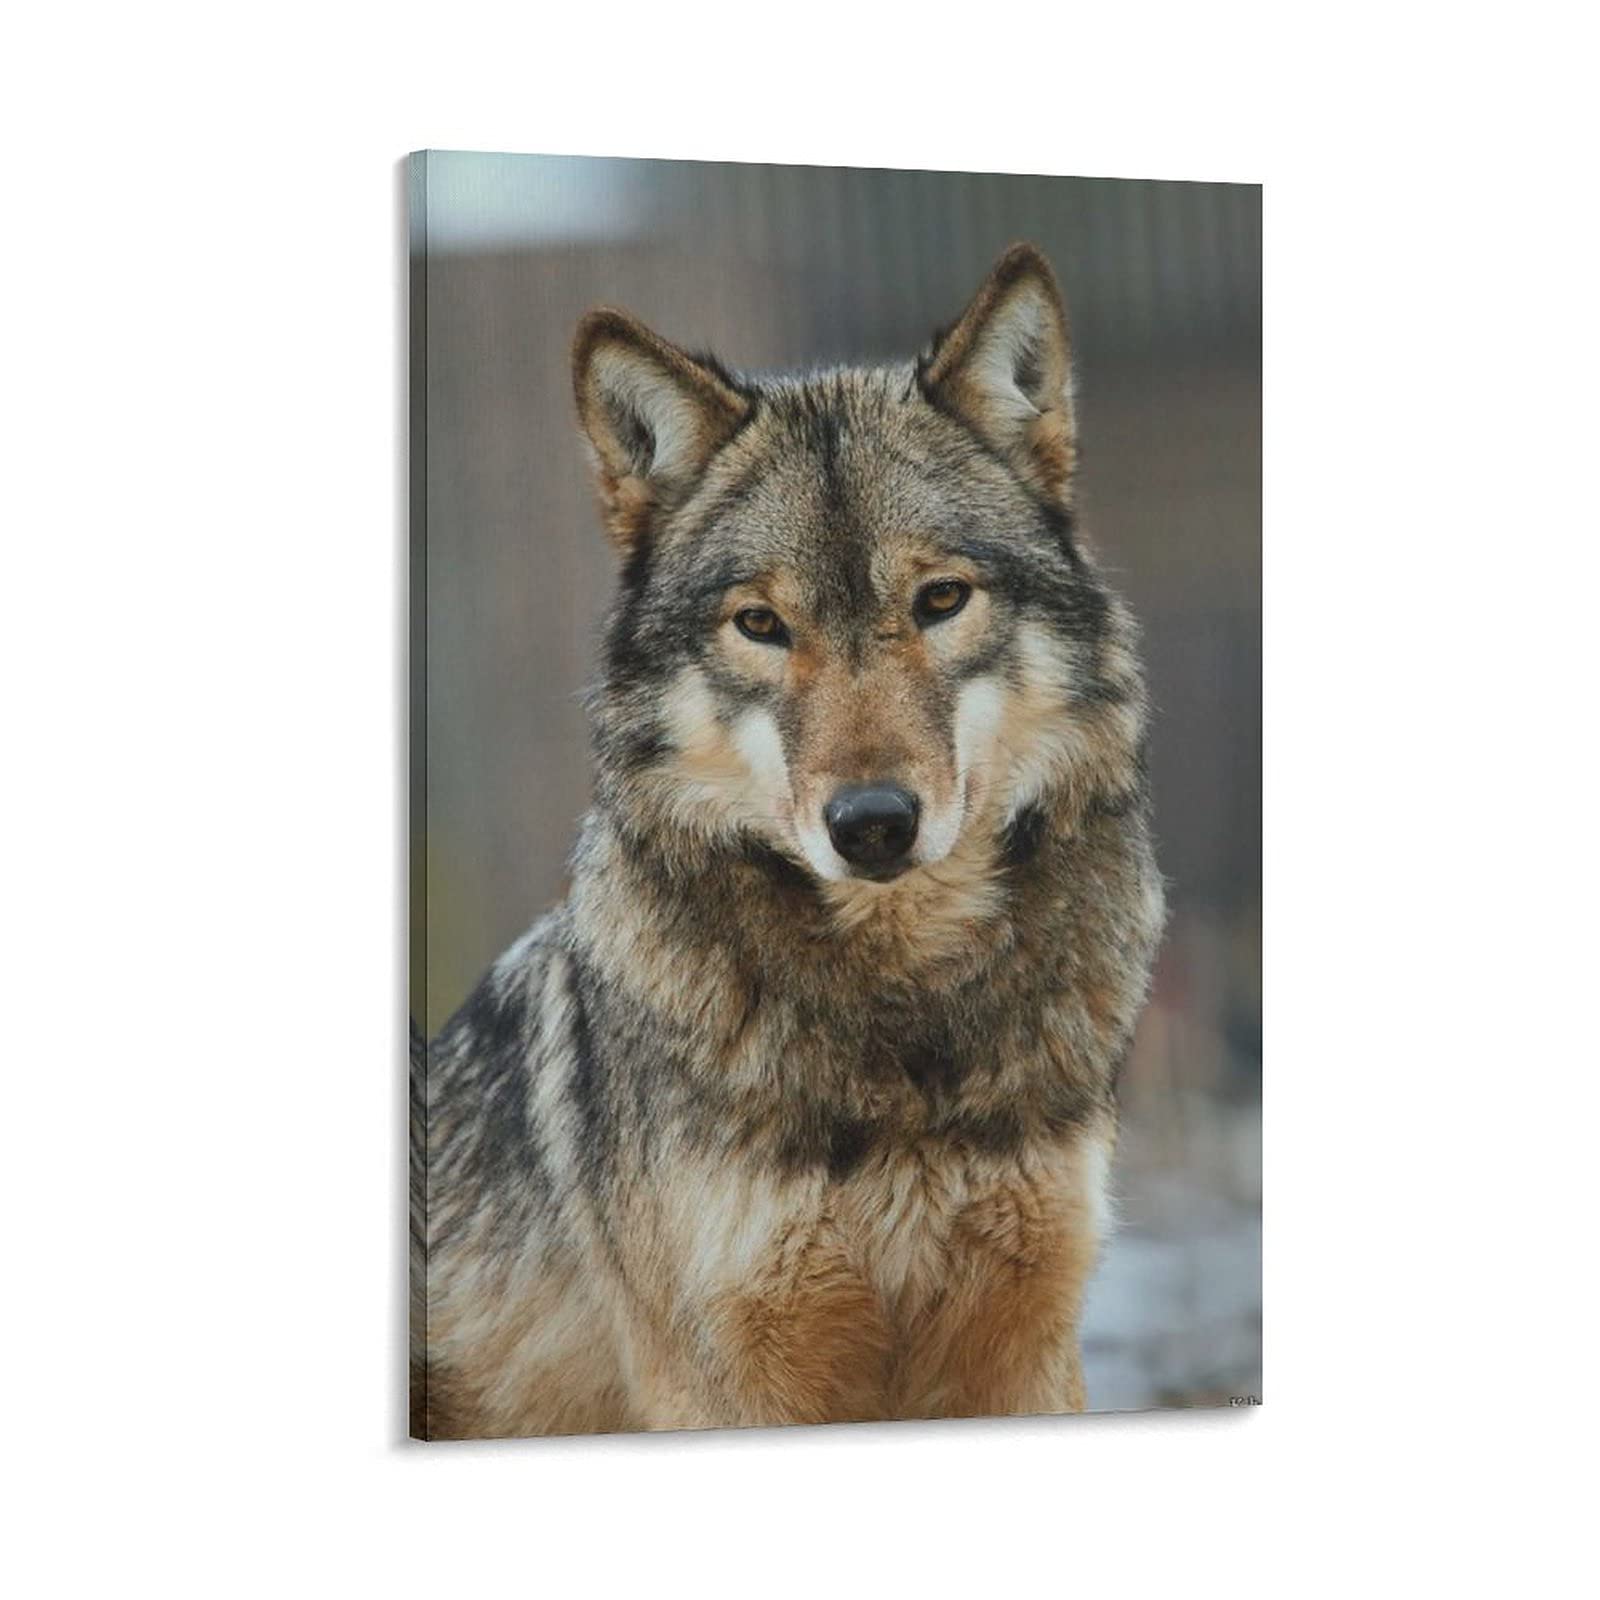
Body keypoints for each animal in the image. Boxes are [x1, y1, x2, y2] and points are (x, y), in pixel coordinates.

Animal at [412, 243, 1165, 1438]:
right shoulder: (730, 1375)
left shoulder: (1026, 1352)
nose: (873, 824)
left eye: (940, 599)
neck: (902, 1022)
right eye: (761, 625)